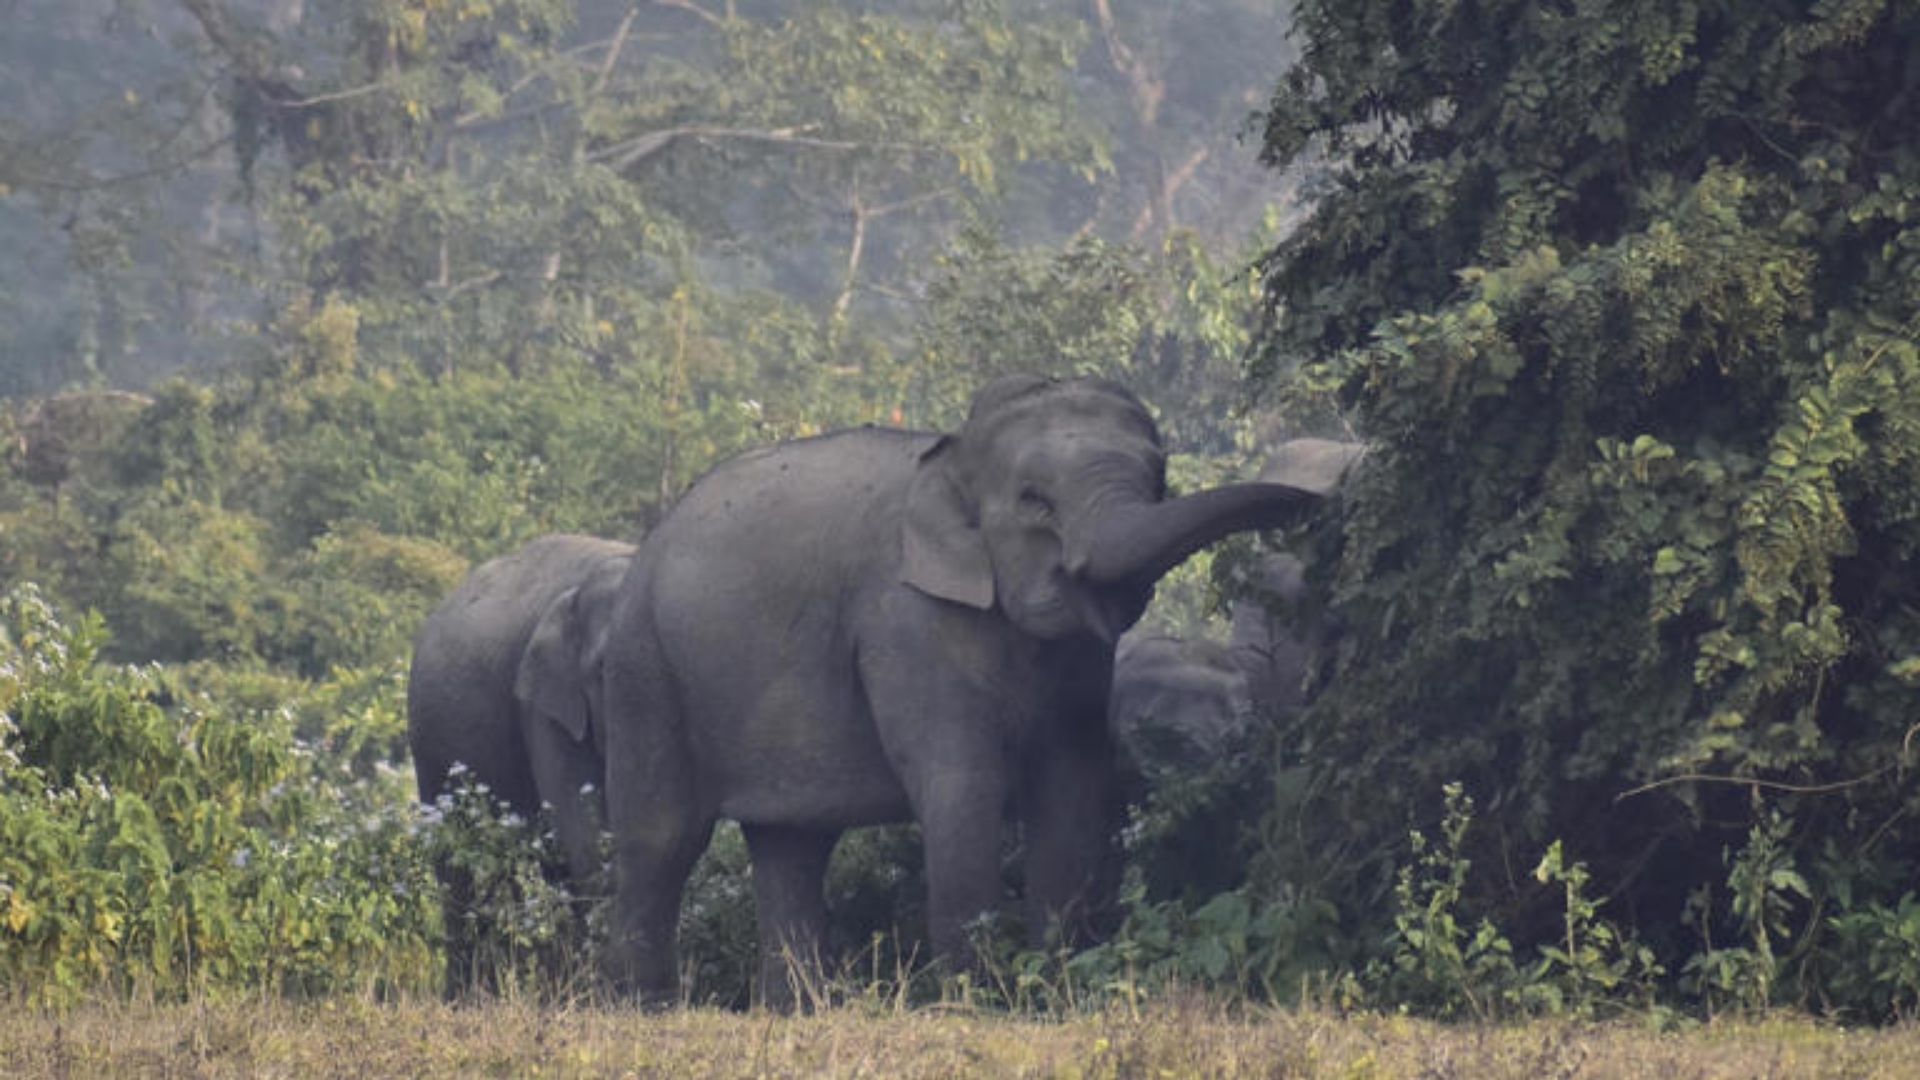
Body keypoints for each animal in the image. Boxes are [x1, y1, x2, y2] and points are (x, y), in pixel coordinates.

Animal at [406, 533, 634, 991]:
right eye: (605, 667)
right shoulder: (544, 707)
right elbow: (586, 833)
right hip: (428, 740)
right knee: (453, 863)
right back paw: (465, 991)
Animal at [596, 374, 1334, 1003]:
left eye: (1160, 477)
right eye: (1035, 501)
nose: (1320, 507)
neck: (952, 457)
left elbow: (1070, 784)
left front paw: (1054, 990)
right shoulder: (905, 620)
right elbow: (962, 784)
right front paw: (976, 1000)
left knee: (792, 844)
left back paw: (796, 1011)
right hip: (643, 668)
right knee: (662, 839)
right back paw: (648, 1007)